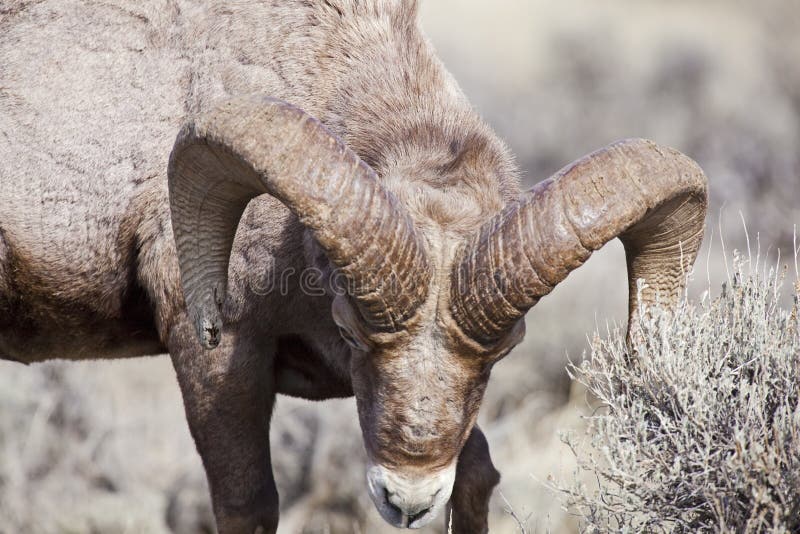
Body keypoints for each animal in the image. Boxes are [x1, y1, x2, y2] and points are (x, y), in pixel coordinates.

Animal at [0, 0, 708, 532]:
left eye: (506, 349)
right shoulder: (216, 360)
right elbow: (248, 504)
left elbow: (477, 472)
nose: (408, 501)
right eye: (349, 327)